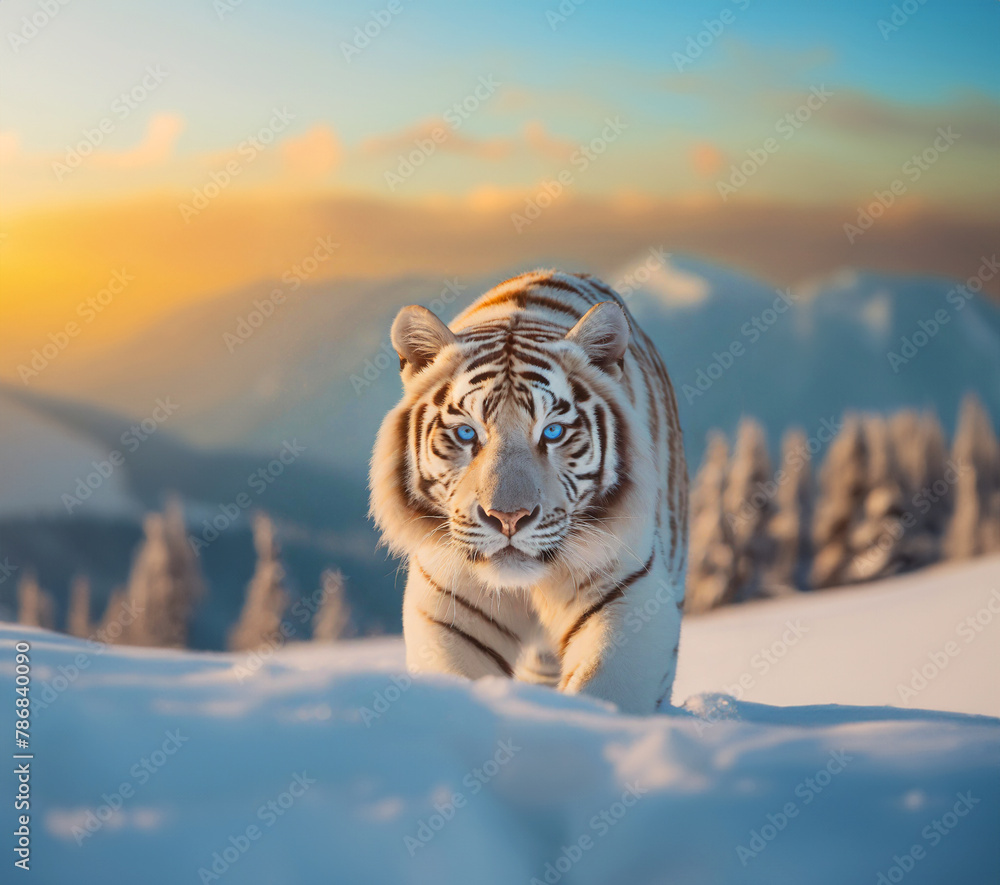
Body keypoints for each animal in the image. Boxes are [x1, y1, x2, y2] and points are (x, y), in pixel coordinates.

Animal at [370, 270, 688, 714]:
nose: (508, 518)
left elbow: (607, 693)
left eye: (552, 432)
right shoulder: (447, 612)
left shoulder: (631, 594)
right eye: (466, 433)